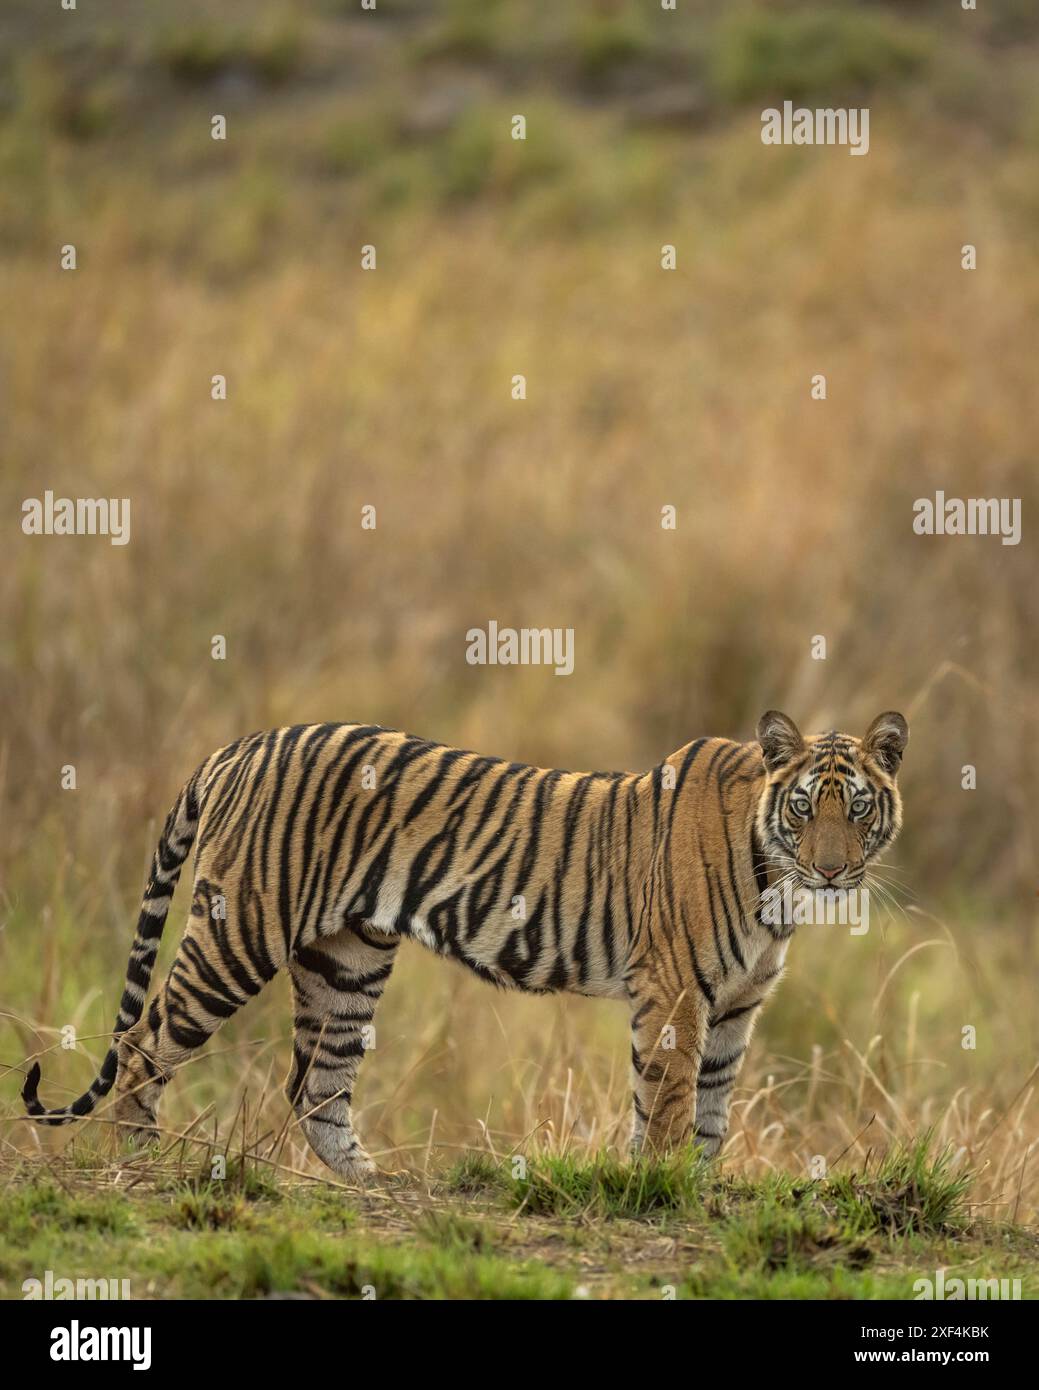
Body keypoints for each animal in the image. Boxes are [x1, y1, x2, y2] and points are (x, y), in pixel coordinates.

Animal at [22, 710, 908, 1176]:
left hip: (347, 959)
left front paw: (694, 1187)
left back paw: (369, 1187)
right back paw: (142, 1163)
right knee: (144, 1043)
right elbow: (666, 1101)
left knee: (316, 1086)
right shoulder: (676, 993)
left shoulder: (734, 1006)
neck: (779, 885)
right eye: (804, 806)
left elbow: (711, 1109)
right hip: (239, 930)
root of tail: (240, 744)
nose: (832, 869)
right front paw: (659, 1187)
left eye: (858, 808)